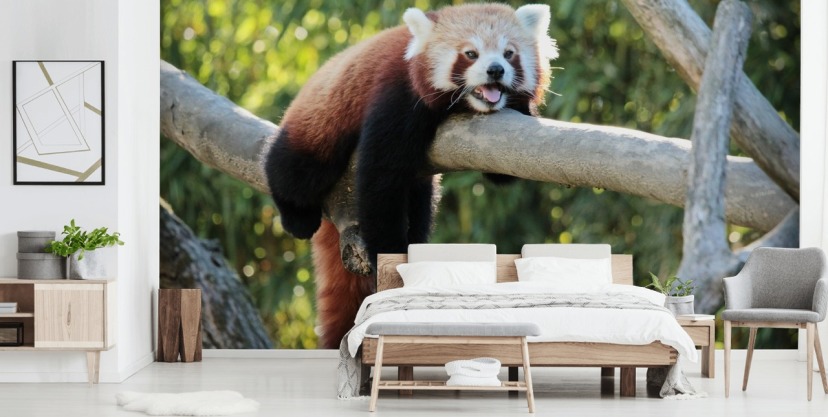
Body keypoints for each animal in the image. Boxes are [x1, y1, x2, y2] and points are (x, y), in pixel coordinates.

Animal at [264, 3, 558, 348]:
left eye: (509, 53)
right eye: (470, 54)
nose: (496, 70)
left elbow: (502, 172)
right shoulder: (397, 97)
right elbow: (380, 180)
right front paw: (387, 253)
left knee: (421, 205)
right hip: (317, 125)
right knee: (293, 171)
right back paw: (296, 215)